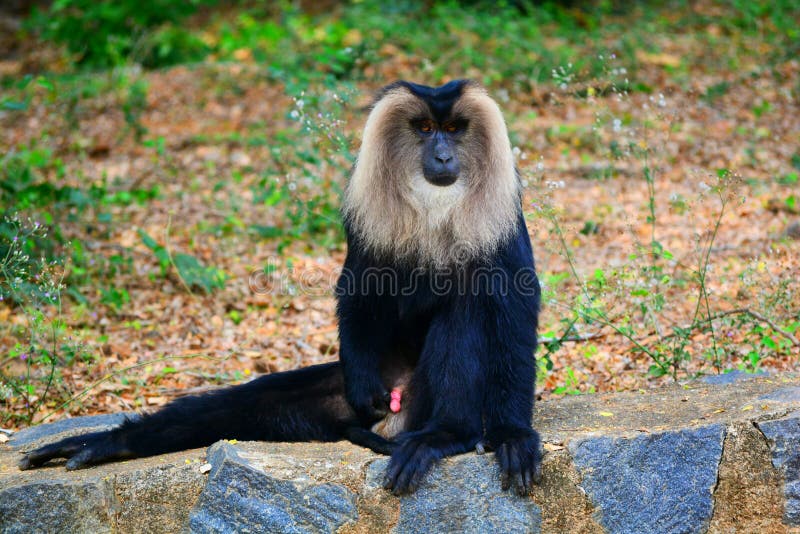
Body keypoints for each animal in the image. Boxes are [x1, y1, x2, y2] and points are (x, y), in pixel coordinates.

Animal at [19, 80, 542, 496]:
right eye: (425, 128)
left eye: (454, 129)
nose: (443, 155)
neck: (436, 207)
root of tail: (396, 415)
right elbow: (359, 289)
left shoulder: (501, 223)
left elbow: (513, 316)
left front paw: (512, 435)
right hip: (350, 398)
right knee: (248, 404)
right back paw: (108, 444)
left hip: (423, 402)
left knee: (465, 313)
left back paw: (442, 437)